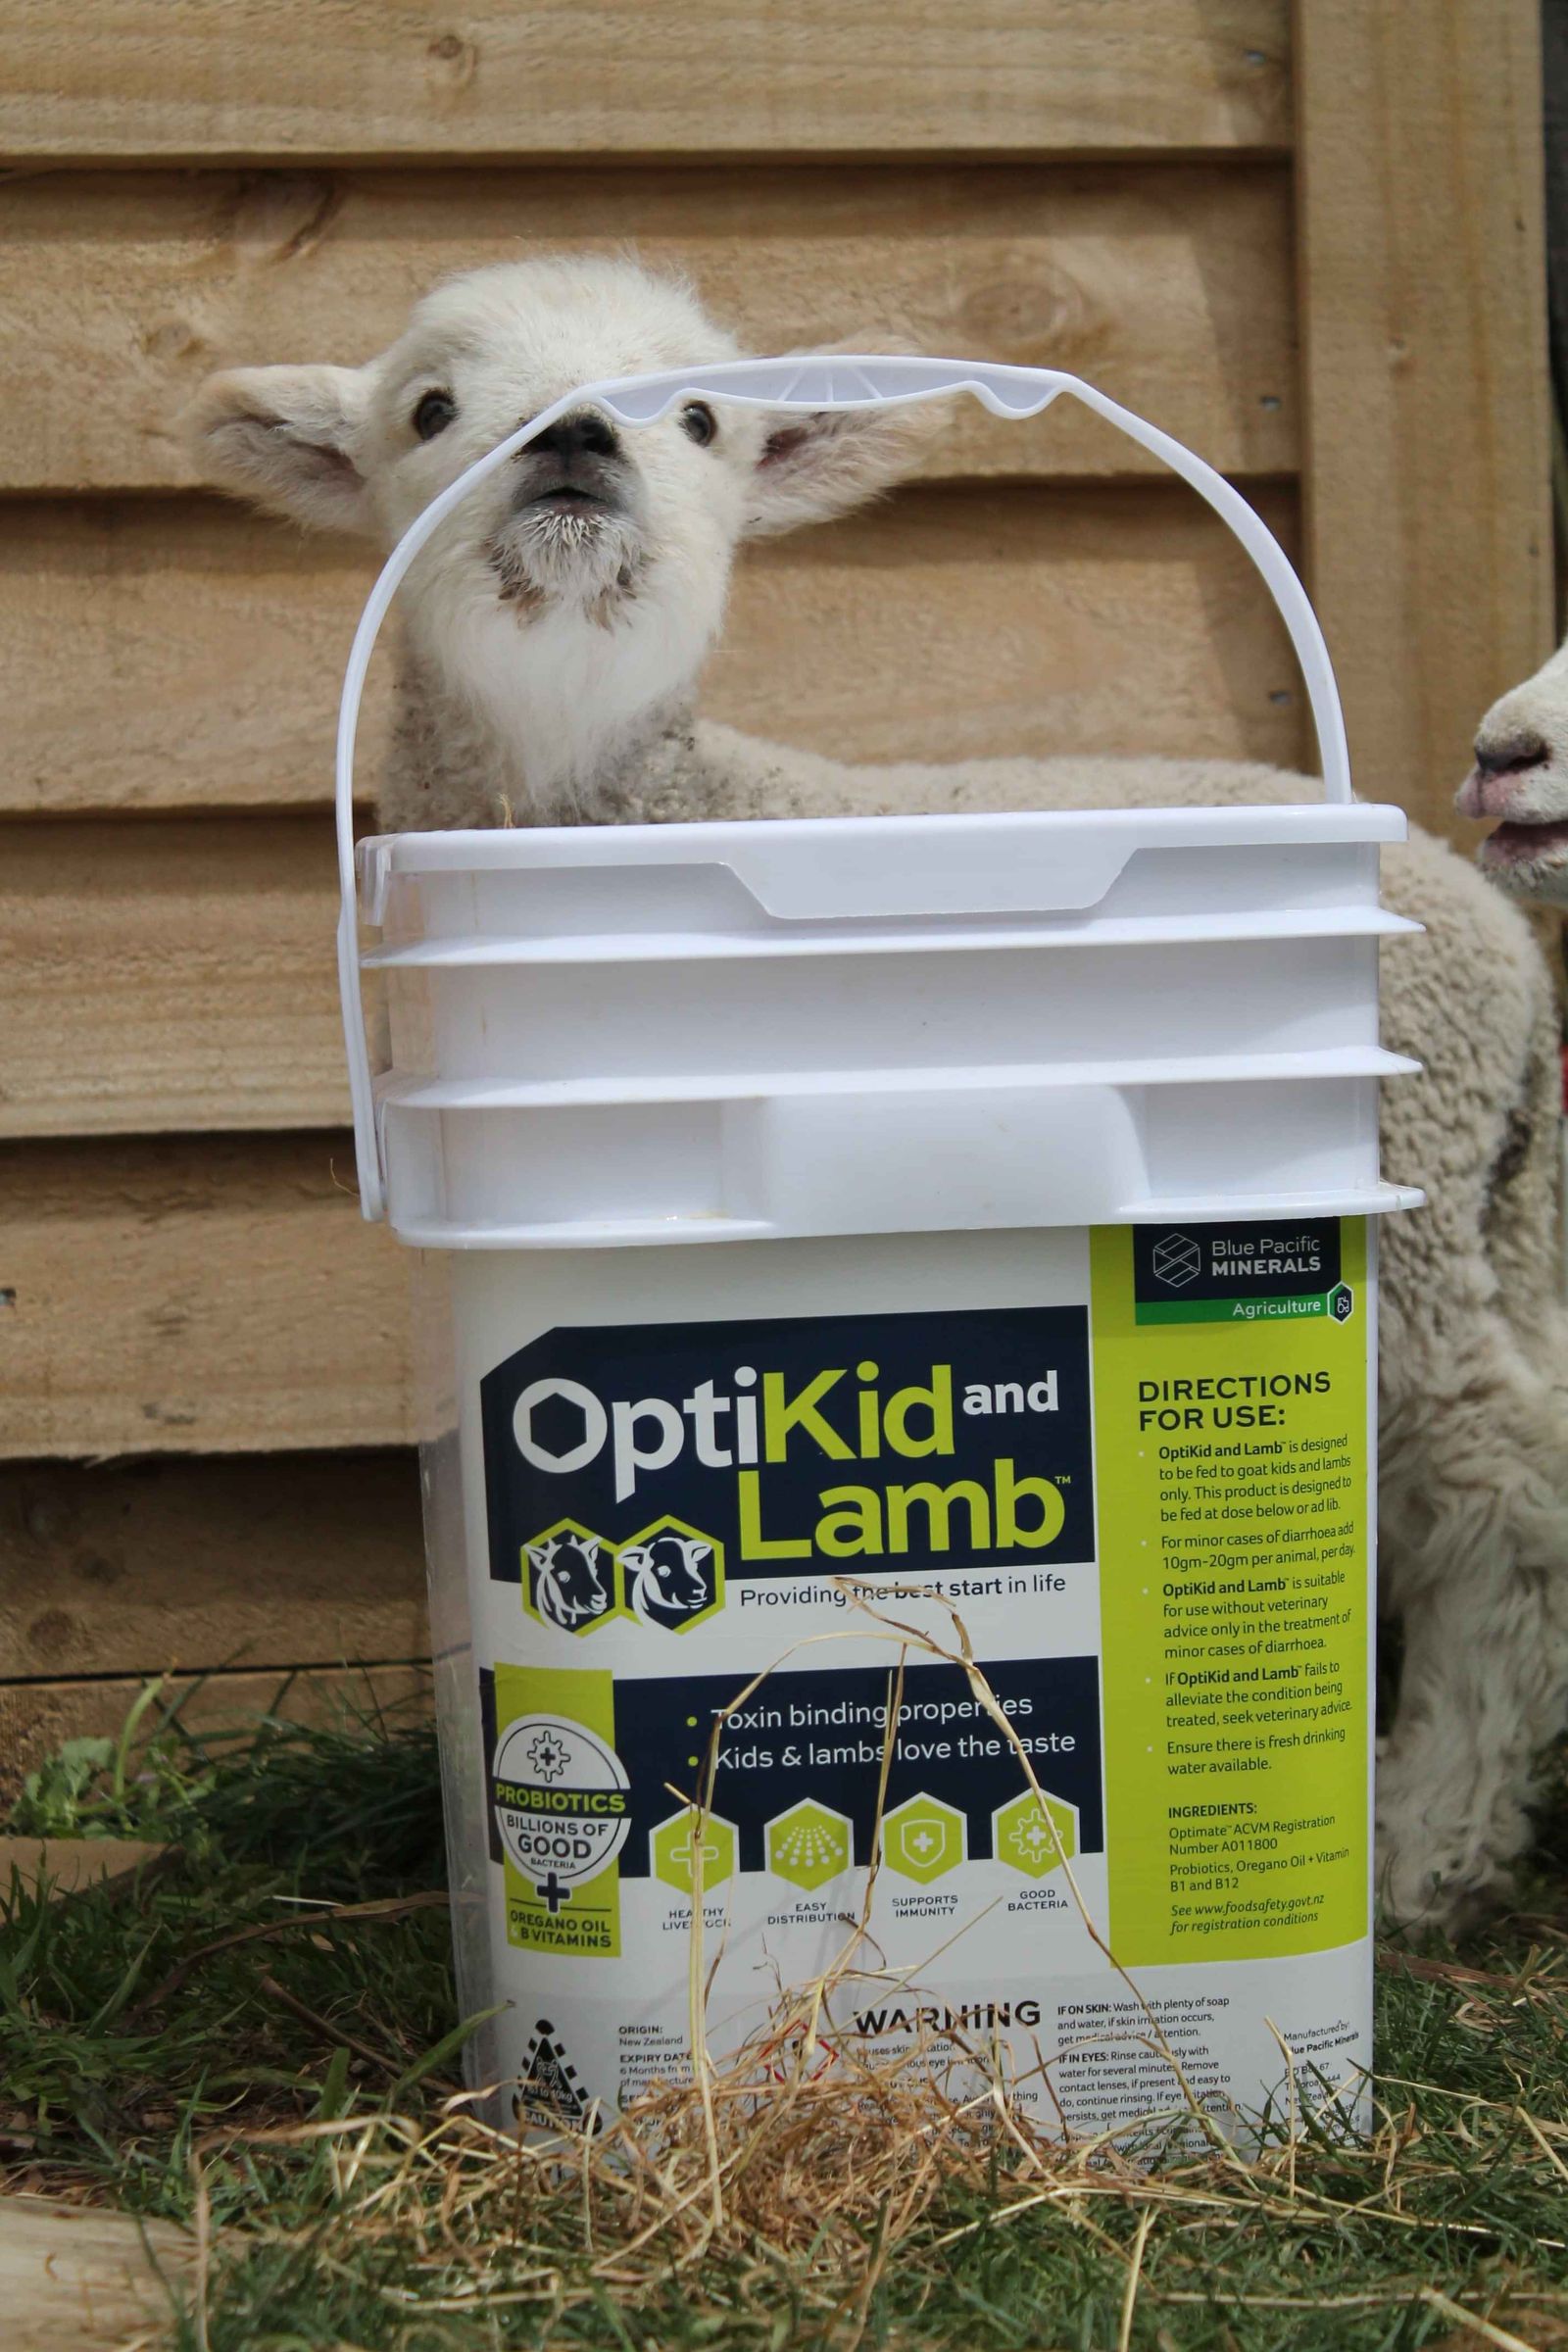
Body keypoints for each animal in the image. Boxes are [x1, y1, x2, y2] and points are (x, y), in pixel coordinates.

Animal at [191, 256, 1568, 1938]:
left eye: (700, 419)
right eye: (431, 410)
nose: (576, 438)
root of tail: (1498, 944)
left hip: (1413, 1192)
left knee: (1506, 1497)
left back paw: (1427, 1837)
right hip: (1477, 1211)